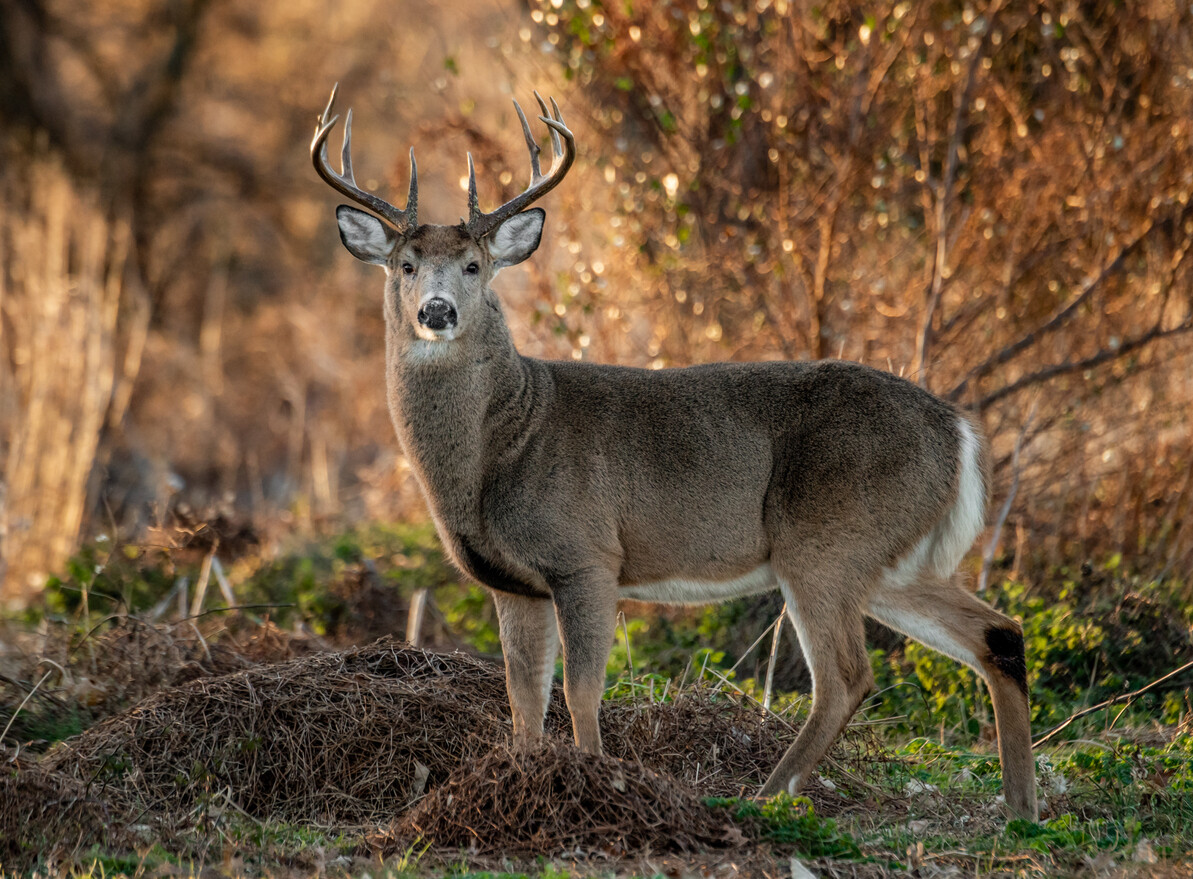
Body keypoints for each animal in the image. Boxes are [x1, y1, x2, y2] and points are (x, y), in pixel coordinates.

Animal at [311, 85, 1038, 821]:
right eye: (404, 265)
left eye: (474, 266)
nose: (437, 312)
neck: (502, 446)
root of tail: (958, 428)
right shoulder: (512, 582)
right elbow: (522, 698)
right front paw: (518, 781)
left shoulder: (587, 555)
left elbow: (578, 690)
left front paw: (593, 781)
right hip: (892, 557)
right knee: (999, 634)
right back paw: (1020, 809)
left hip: (826, 540)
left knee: (845, 675)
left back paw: (763, 797)